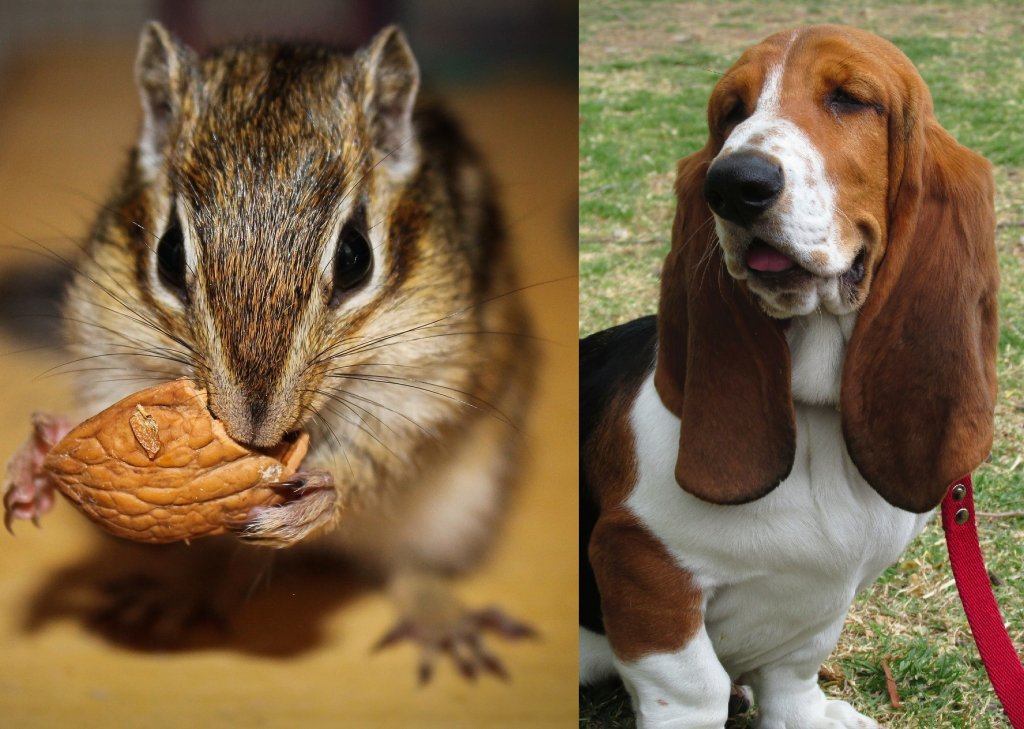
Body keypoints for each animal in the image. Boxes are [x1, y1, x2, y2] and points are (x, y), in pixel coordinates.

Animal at [3, 22, 536, 679]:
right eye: (169, 254)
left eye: (356, 256)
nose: (253, 428)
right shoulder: (108, 339)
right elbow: (99, 414)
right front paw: (38, 455)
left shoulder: (431, 379)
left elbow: (381, 456)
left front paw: (321, 497)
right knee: (218, 564)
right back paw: (176, 593)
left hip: (455, 511)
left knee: (410, 567)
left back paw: (441, 622)